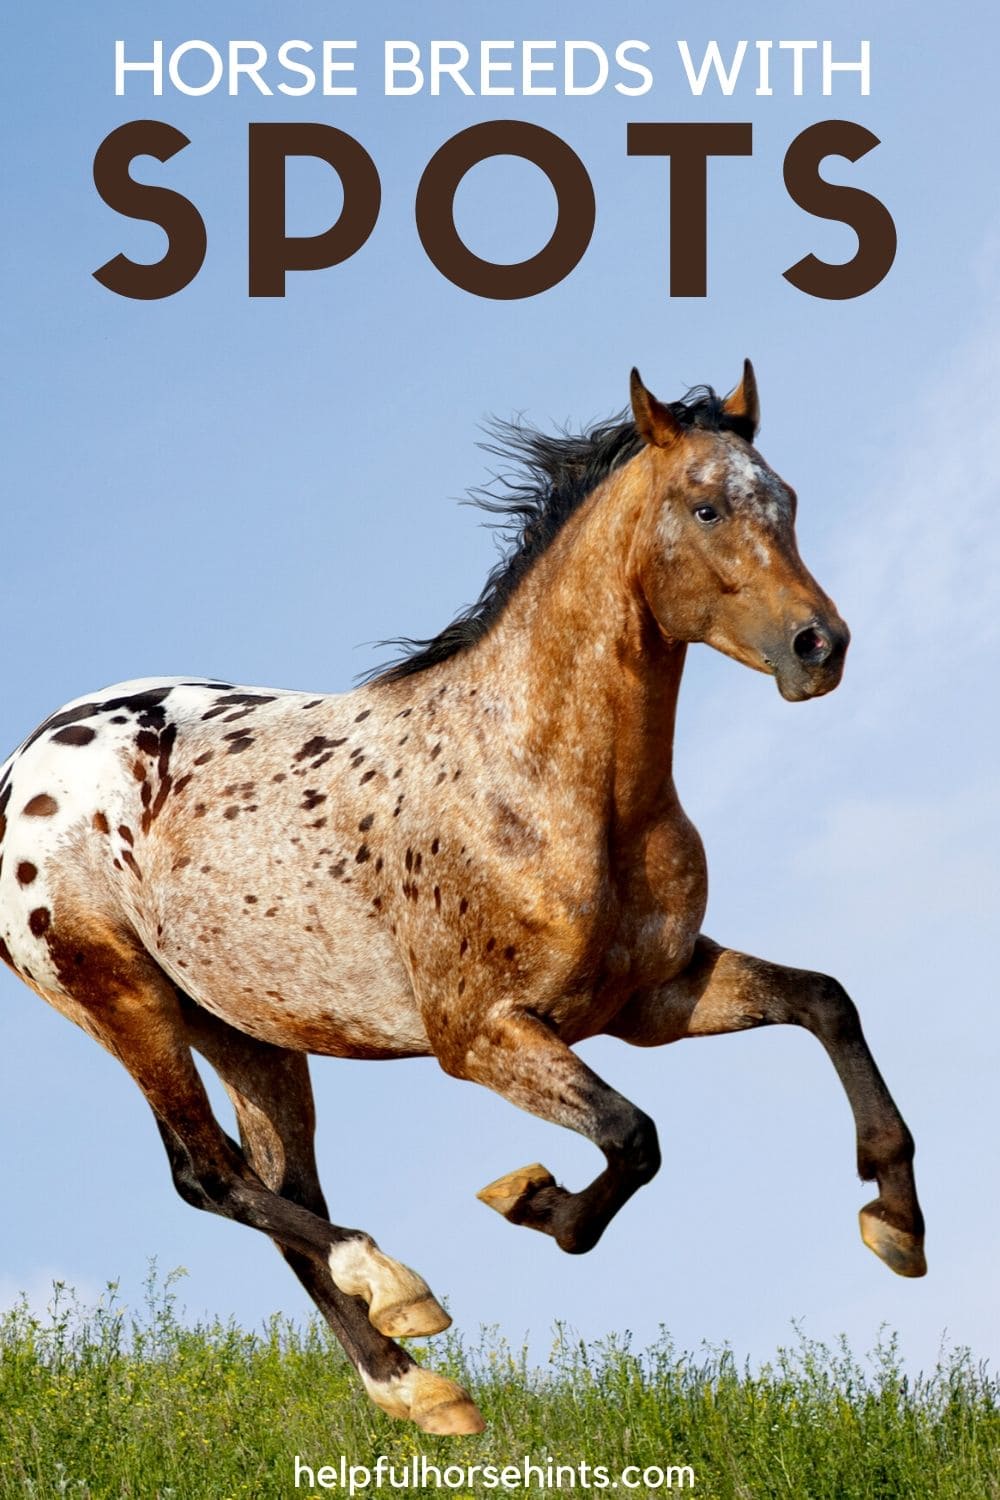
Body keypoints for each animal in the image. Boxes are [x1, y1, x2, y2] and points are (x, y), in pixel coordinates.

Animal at [0, 363, 925, 1435]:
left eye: (788, 502)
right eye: (706, 507)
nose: (821, 646)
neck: (540, 783)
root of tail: (25, 764)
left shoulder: (655, 999)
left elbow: (825, 1001)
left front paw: (896, 1224)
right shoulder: (482, 1035)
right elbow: (634, 1137)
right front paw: (532, 1201)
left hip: (248, 1031)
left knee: (282, 1183)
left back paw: (416, 1388)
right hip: (121, 999)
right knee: (212, 1175)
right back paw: (397, 1288)